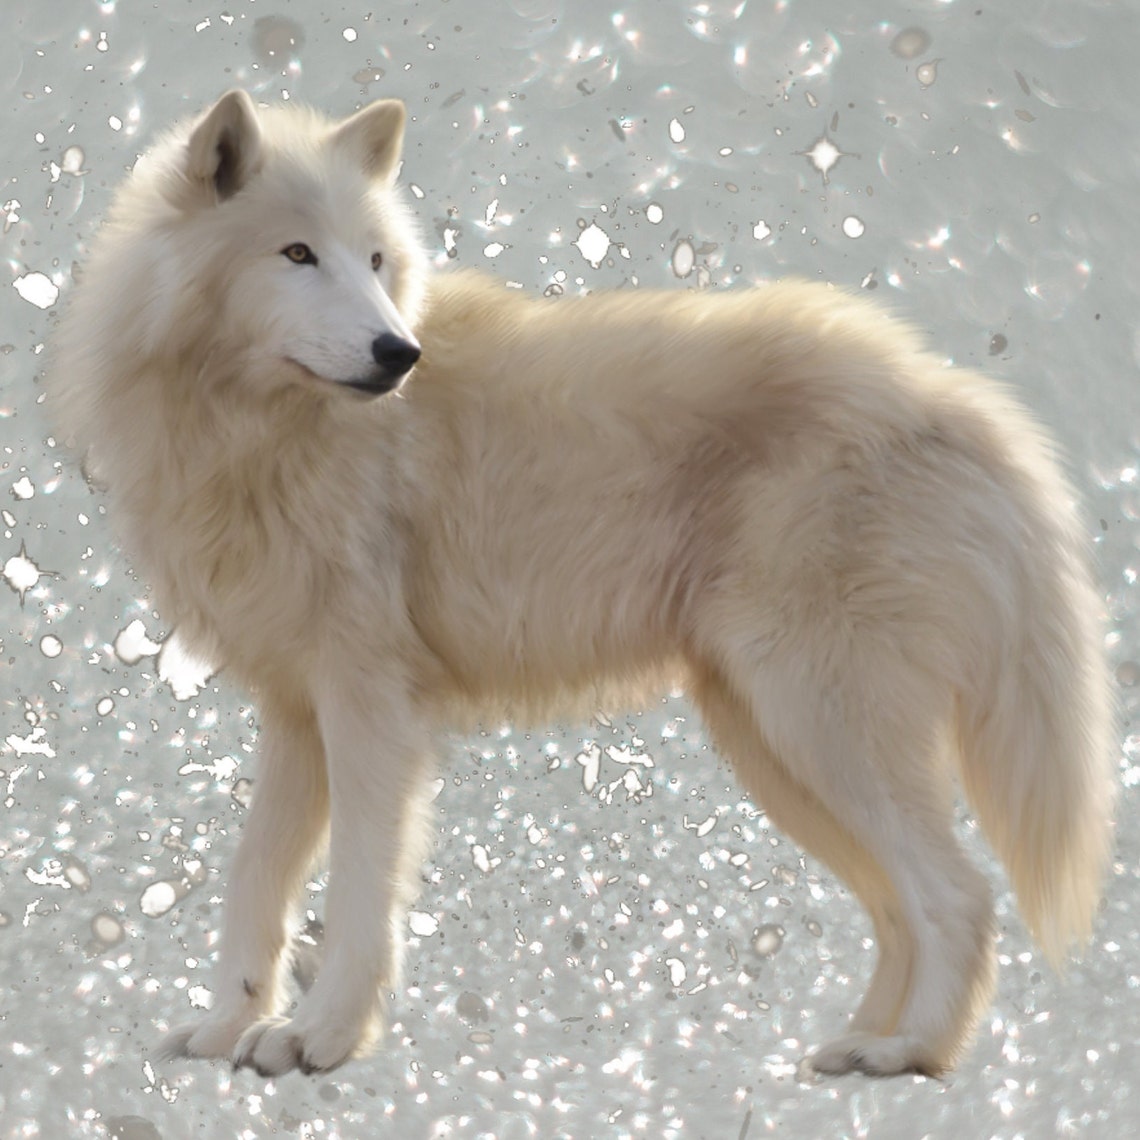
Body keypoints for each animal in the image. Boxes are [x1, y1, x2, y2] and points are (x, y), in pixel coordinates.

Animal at [48, 90, 1115, 1078]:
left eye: (377, 261)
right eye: (299, 254)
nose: (399, 353)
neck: (254, 436)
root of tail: (957, 396)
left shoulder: (371, 708)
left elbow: (357, 889)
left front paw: (320, 1038)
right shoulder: (296, 712)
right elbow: (254, 882)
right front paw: (223, 1032)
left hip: (818, 723)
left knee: (958, 895)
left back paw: (911, 1057)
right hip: (776, 747)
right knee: (900, 905)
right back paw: (855, 1044)